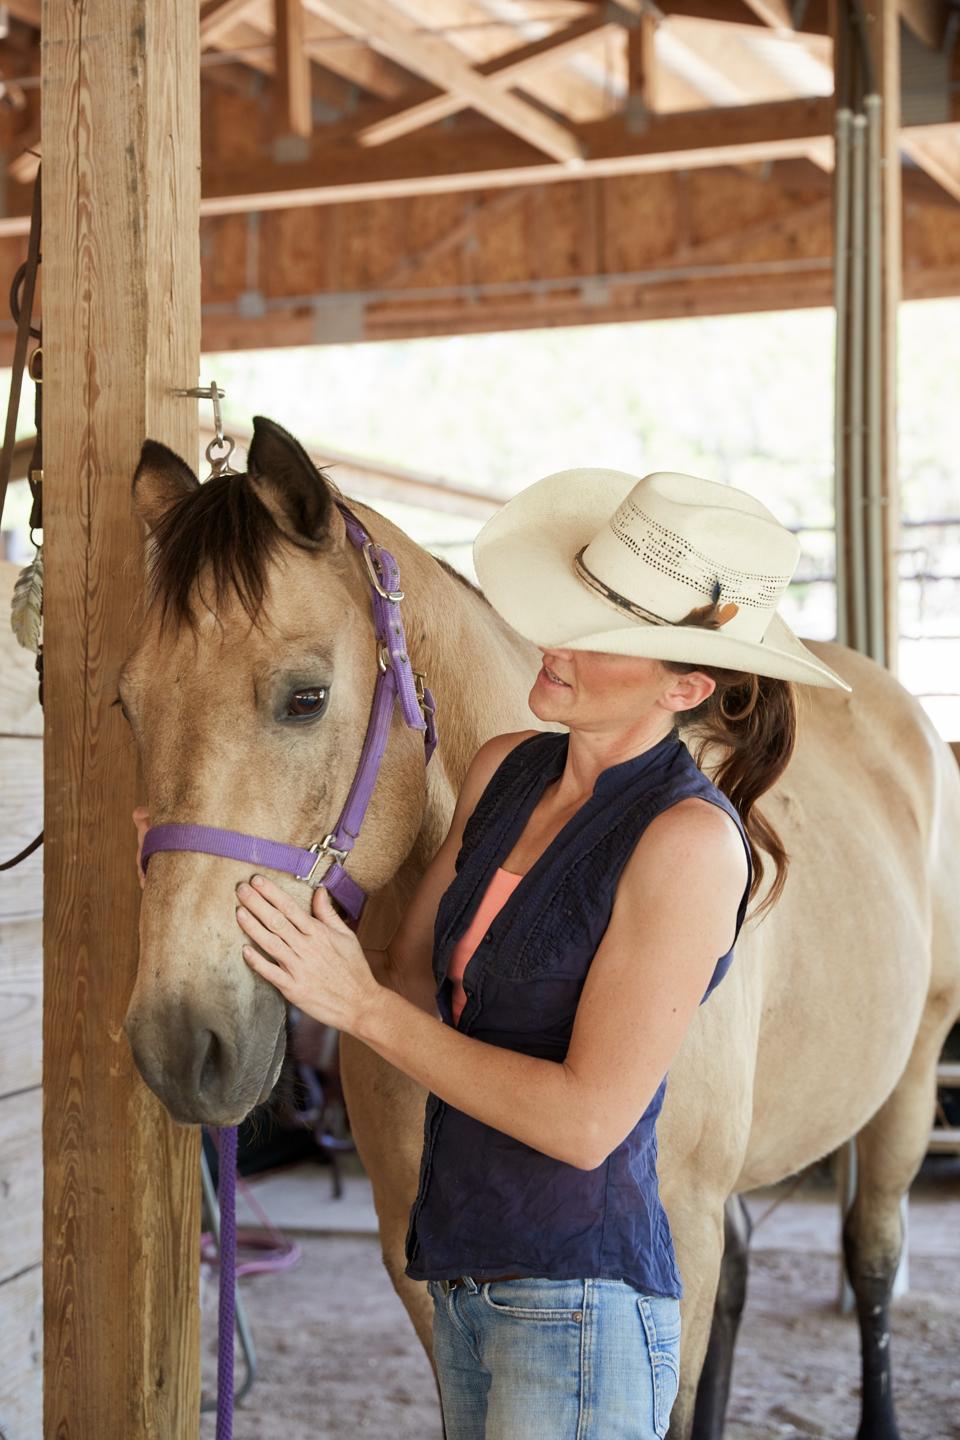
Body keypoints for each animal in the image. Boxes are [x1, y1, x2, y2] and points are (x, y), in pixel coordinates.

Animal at [121, 417, 960, 1440]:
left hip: (908, 1082)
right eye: (126, 703)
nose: (179, 1043)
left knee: (873, 1259)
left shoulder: (675, 1242)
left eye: (305, 698)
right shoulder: (421, 1269)